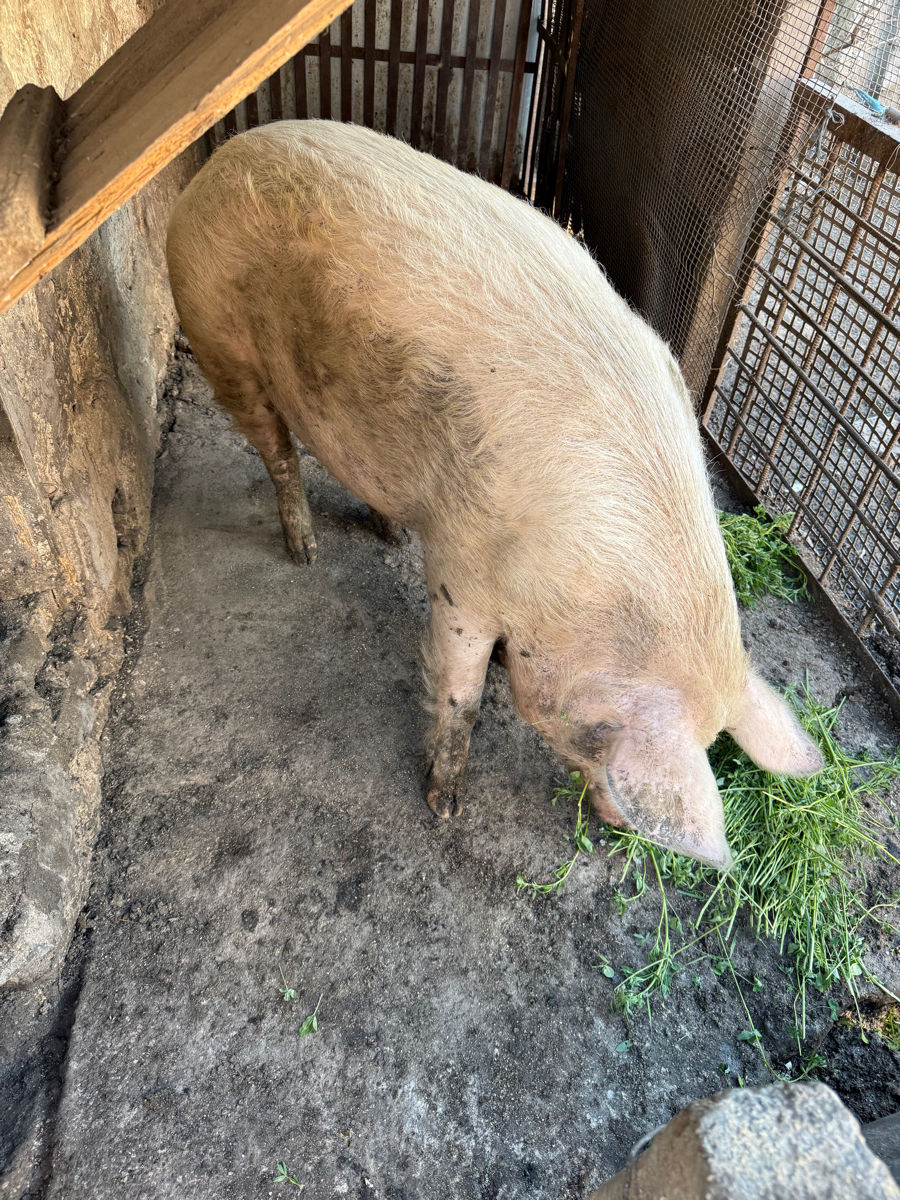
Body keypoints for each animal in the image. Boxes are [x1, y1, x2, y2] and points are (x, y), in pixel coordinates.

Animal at [165, 119, 823, 871]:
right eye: (599, 735)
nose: (619, 828)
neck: (578, 594)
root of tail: (221, 159)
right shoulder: (463, 575)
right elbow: (462, 694)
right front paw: (444, 806)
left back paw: (390, 530)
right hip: (219, 340)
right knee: (275, 451)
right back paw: (303, 553)